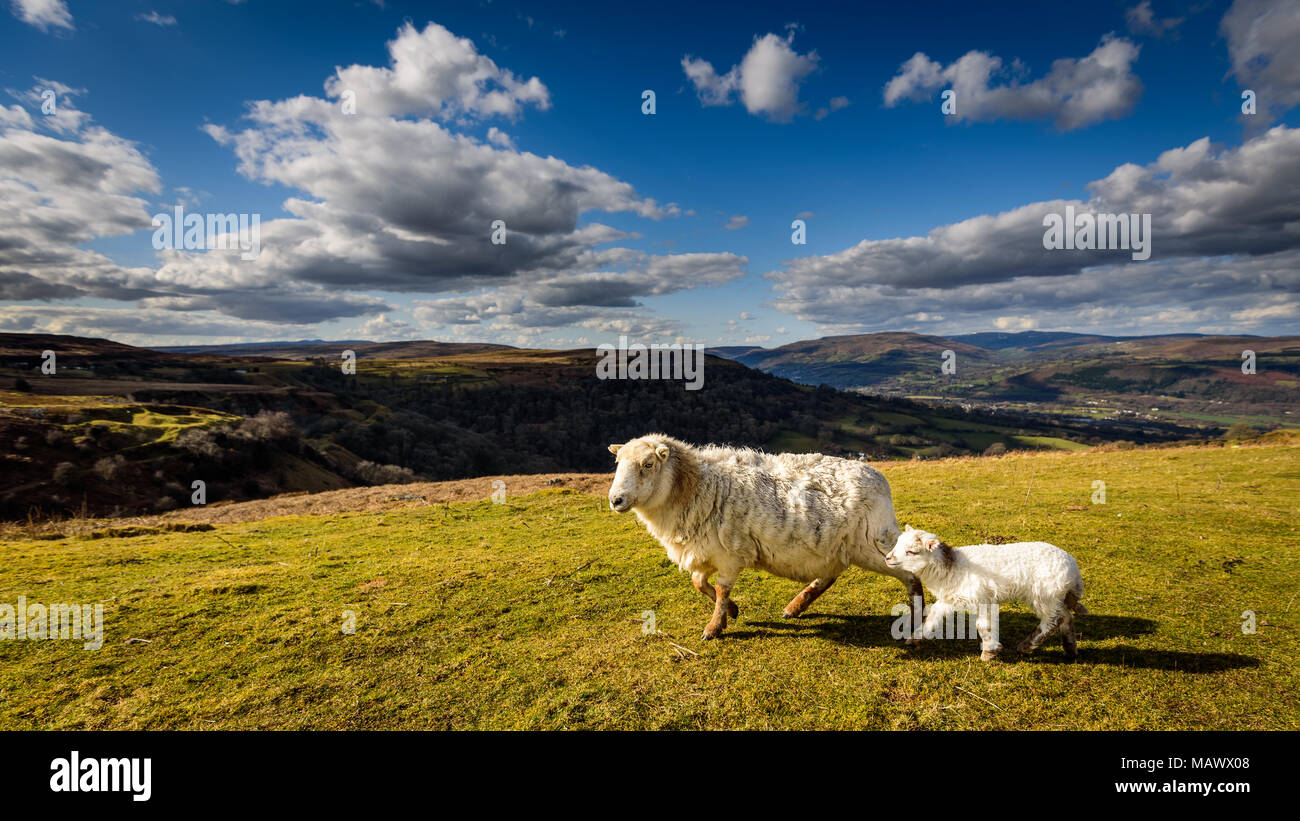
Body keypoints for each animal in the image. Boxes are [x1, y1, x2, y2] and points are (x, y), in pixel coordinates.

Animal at [606, 433, 922, 640]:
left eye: (648, 464)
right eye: (617, 462)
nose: (616, 500)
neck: (694, 485)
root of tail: (879, 479)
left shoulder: (731, 555)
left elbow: (720, 589)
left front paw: (714, 627)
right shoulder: (705, 550)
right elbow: (699, 583)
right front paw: (732, 611)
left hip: (875, 543)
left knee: (911, 575)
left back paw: (916, 624)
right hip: (834, 546)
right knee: (829, 575)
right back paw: (796, 606)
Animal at [883, 526, 1088, 661]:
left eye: (911, 552)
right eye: (897, 544)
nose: (888, 558)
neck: (950, 567)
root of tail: (1074, 571)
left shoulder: (982, 598)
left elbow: (982, 626)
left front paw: (989, 651)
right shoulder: (950, 597)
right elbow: (932, 618)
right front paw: (915, 639)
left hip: (1045, 594)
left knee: (1053, 621)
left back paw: (1027, 645)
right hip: (1055, 596)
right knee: (1066, 617)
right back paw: (1070, 649)